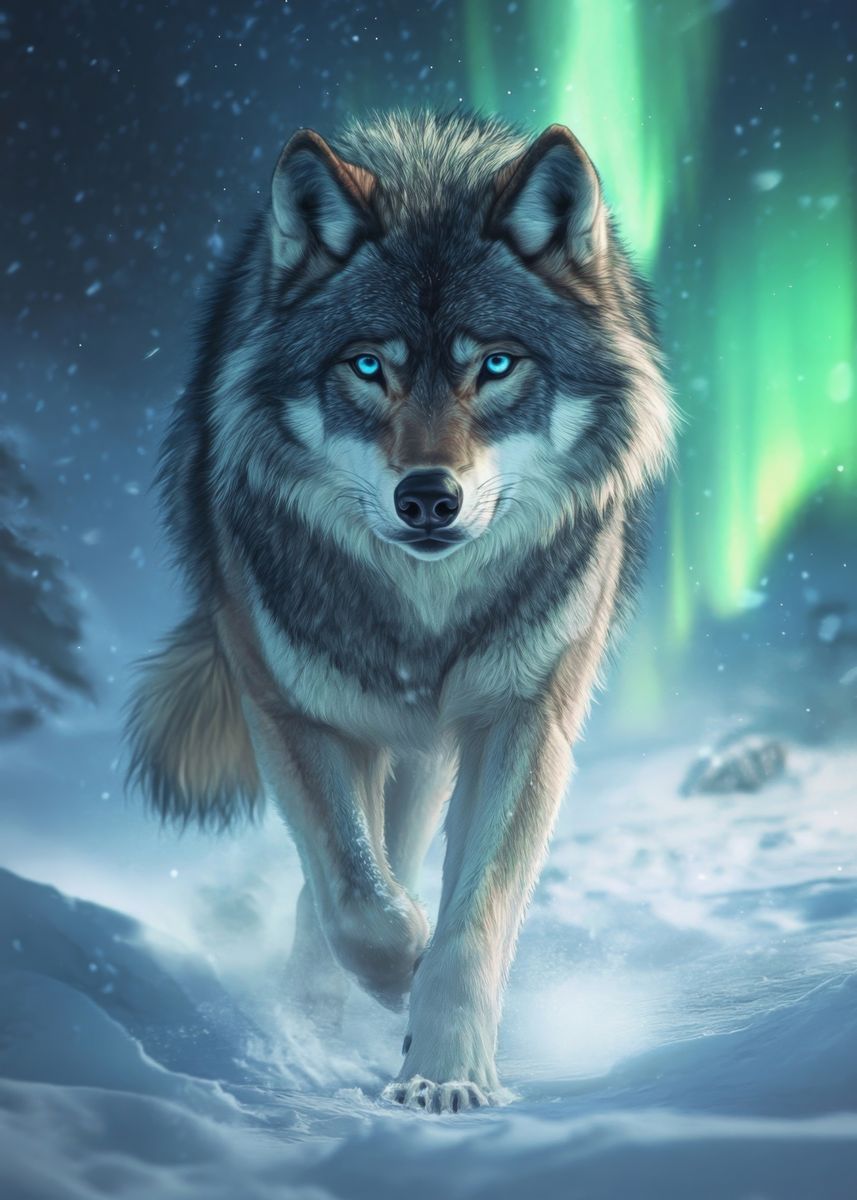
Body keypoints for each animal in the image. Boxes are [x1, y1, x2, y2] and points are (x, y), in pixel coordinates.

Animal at [126, 110, 672, 1113]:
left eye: (494, 365)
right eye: (368, 365)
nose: (427, 497)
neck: (426, 616)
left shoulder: (525, 718)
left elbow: (473, 916)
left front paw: (446, 1073)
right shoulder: (289, 707)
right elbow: (359, 901)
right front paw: (400, 974)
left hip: (421, 750)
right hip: (363, 727)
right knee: (340, 880)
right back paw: (310, 1021)